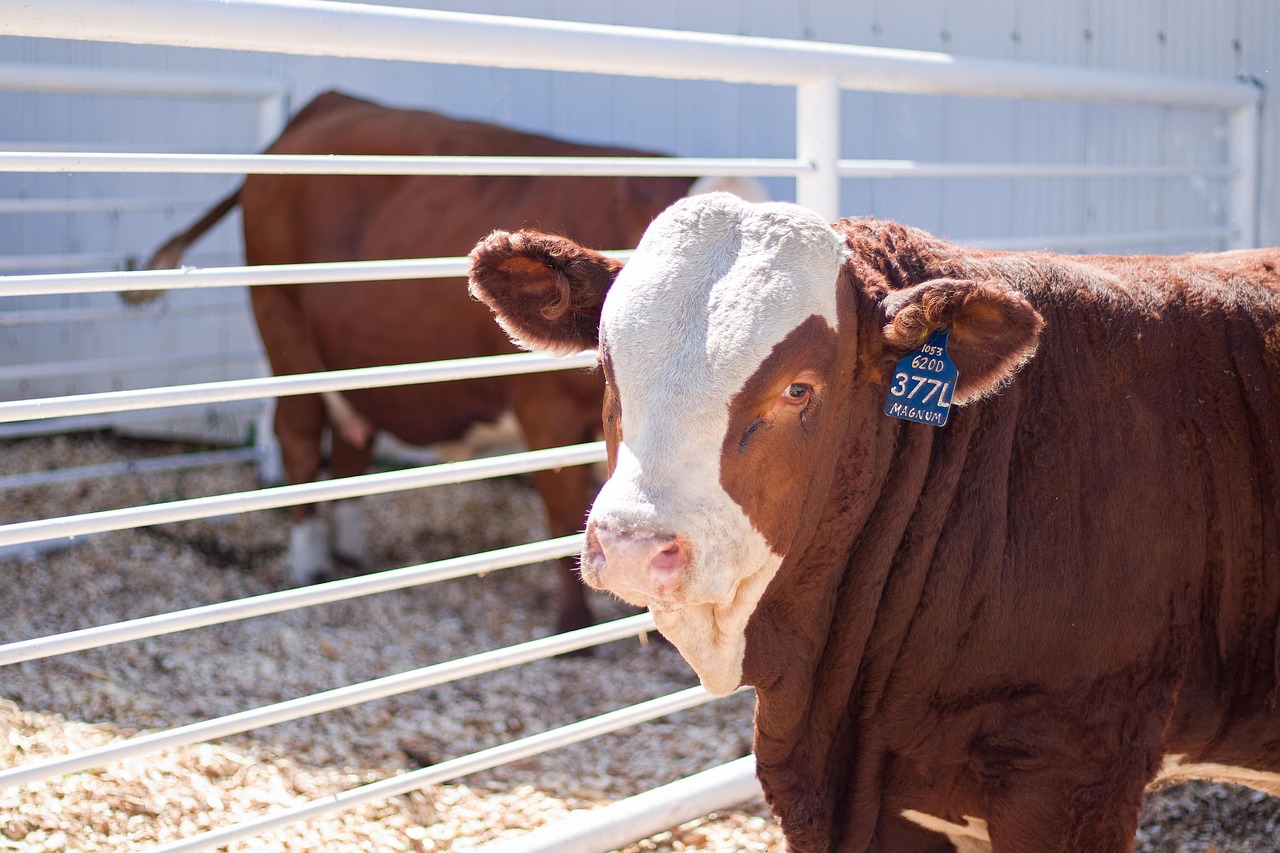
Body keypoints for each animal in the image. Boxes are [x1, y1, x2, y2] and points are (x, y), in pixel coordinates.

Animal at [146, 91, 764, 634]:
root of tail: (328, 106)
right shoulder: (548, 415)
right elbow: (567, 513)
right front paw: (575, 629)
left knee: (350, 442)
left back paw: (350, 556)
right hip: (285, 331)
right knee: (299, 438)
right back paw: (309, 566)